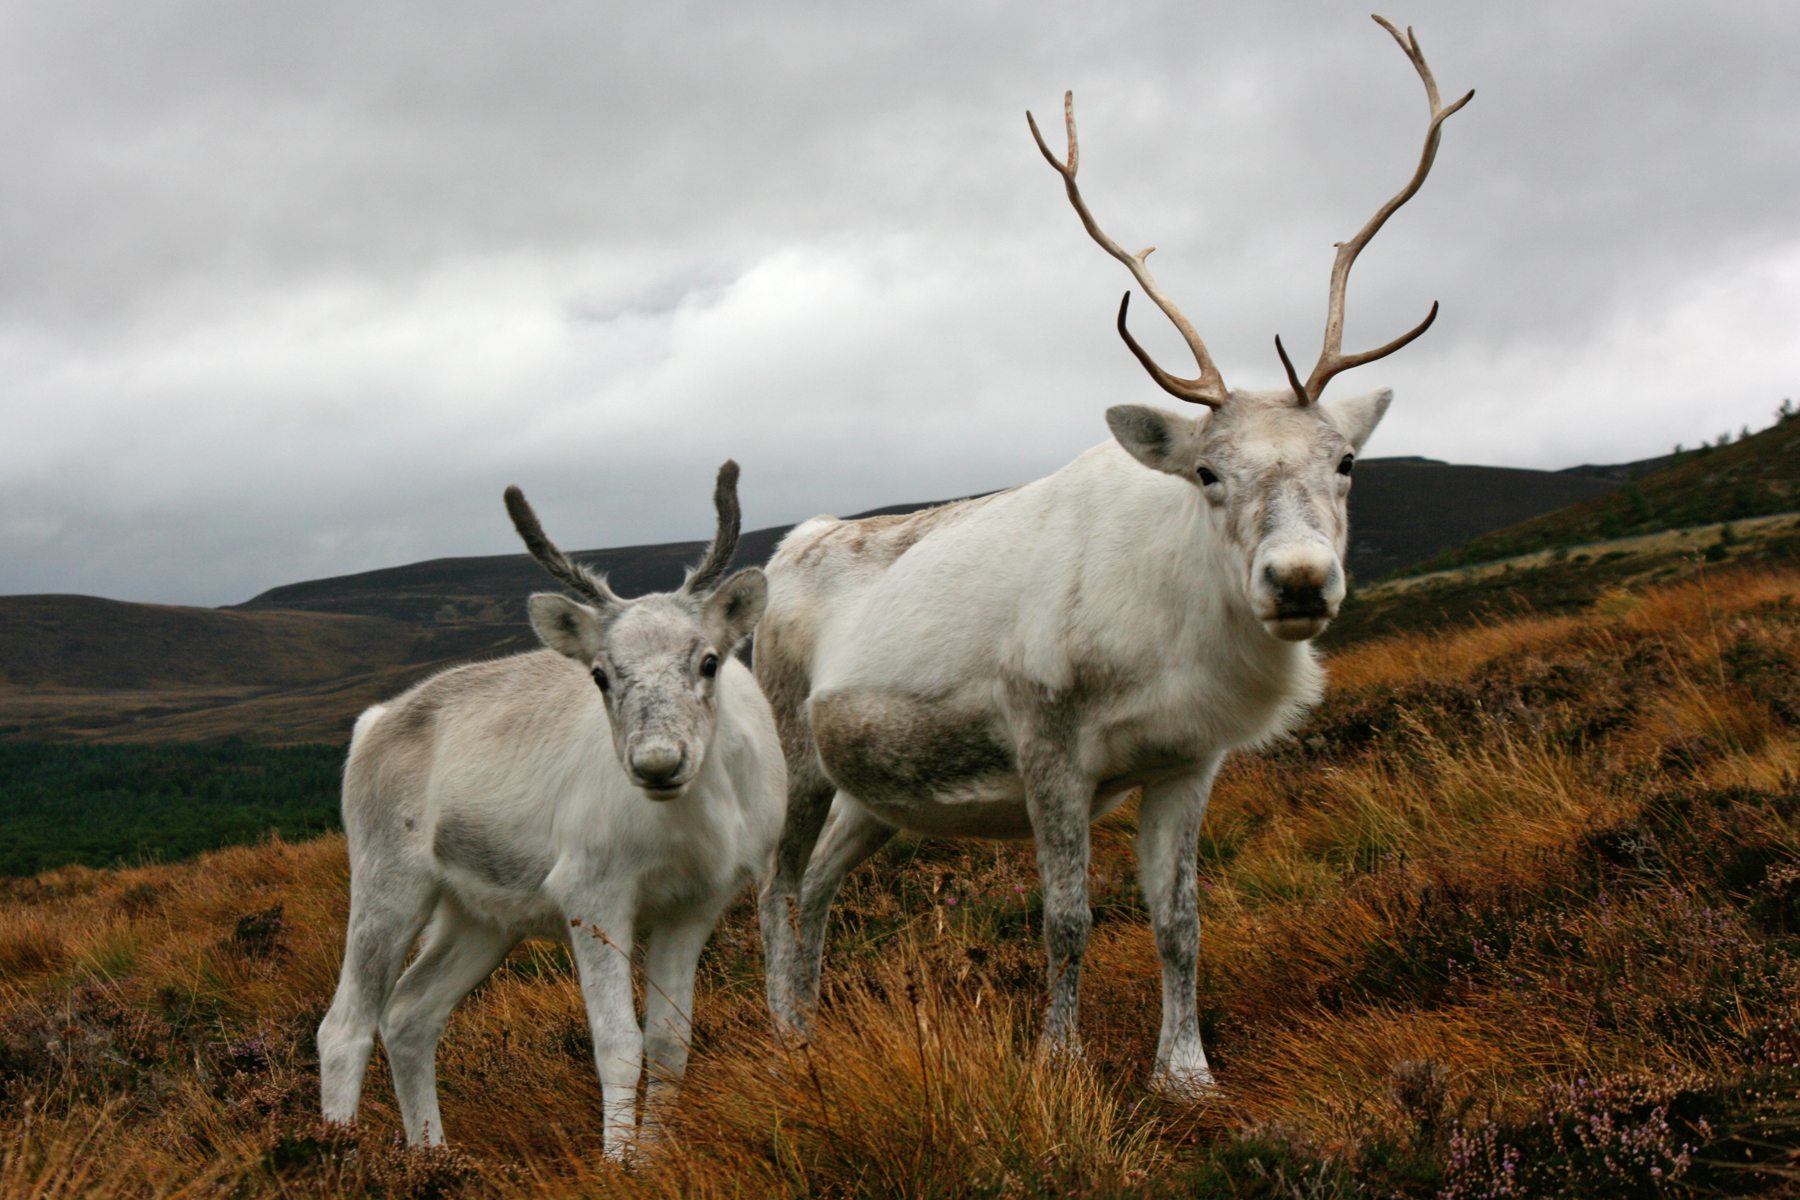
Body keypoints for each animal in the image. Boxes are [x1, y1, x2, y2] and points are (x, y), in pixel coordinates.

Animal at [317, 461, 784, 1155]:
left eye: (708, 660)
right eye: (600, 674)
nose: (657, 762)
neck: (690, 823)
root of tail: (371, 724)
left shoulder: (696, 904)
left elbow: (670, 1042)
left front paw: (653, 1159)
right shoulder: (591, 891)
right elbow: (618, 1045)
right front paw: (617, 1163)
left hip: (480, 915)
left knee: (408, 1014)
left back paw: (433, 1158)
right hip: (387, 879)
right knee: (344, 1025)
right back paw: (337, 1154)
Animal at [753, 16, 1470, 1095]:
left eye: (1346, 461)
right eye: (1208, 471)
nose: (1299, 580)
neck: (1165, 634)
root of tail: (786, 552)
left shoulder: (1187, 757)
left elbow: (1179, 920)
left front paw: (1187, 1071)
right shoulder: (1047, 739)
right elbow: (1067, 921)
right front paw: (1060, 1064)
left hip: (873, 791)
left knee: (825, 882)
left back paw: (810, 1026)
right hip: (792, 750)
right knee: (775, 886)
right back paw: (780, 1036)